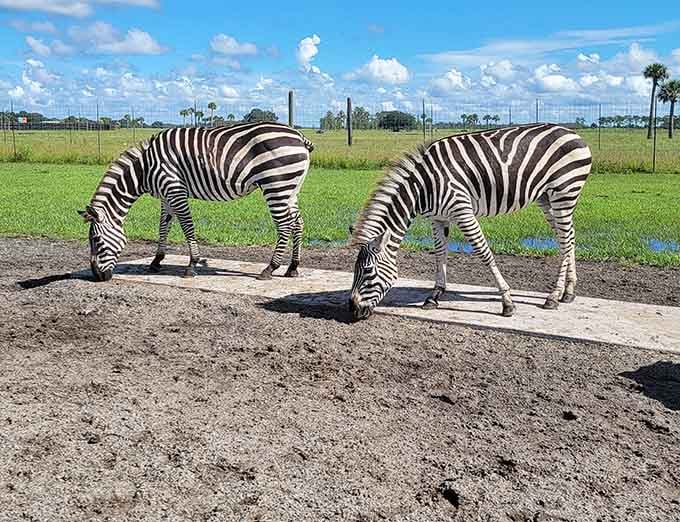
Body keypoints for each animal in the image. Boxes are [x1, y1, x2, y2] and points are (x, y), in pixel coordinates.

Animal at [79, 121, 313, 282]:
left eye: (96, 240)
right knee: (298, 222)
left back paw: (270, 268)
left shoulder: (175, 189)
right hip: (290, 188)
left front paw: (192, 265)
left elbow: (186, 226)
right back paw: (293, 267)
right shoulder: (165, 195)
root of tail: (299, 135)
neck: (145, 169)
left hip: (276, 185)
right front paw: (156, 261)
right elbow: (163, 226)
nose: (96, 277)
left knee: (284, 225)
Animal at [349, 123, 592, 320]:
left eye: (368, 272)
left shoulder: (462, 210)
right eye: (354, 270)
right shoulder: (438, 218)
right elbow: (440, 254)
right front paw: (434, 296)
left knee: (566, 240)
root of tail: (573, 132)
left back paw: (553, 296)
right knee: (568, 238)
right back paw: (568, 292)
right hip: (547, 198)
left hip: (564, 193)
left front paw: (507, 302)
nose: (352, 309)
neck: (423, 187)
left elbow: (484, 252)